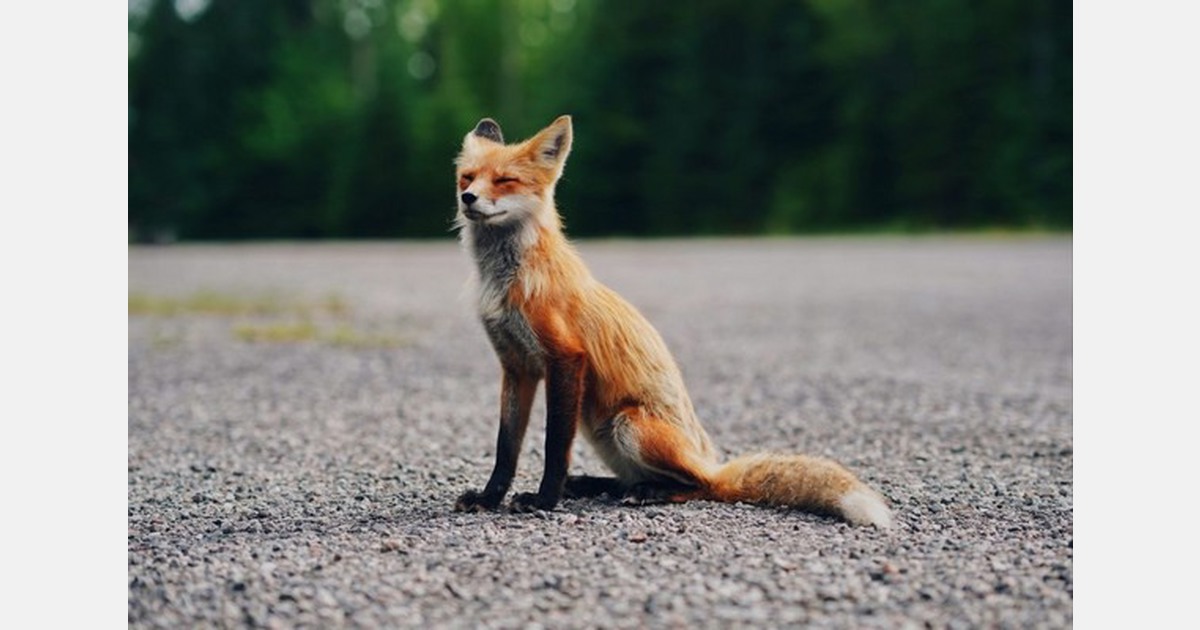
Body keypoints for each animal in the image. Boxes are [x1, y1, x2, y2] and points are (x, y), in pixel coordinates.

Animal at [451, 115, 893, 528]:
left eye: (505, 180)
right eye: (467, 177)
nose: (467, 198)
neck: (507, 281)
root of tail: (711, 460)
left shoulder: (565, 358)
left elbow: (554, 446)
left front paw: (544, 500)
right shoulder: (517, 366)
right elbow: (506, 447)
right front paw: (490, 498)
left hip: (628, 425)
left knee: (700, 486)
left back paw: (649, 491)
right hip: (599, 428)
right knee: (634, 480)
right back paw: (598, 485)